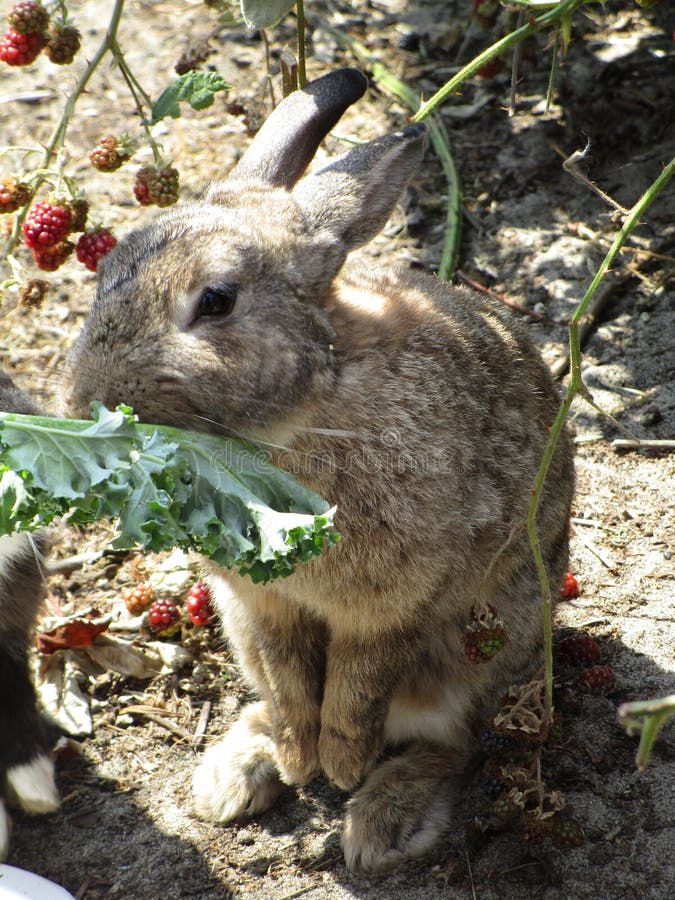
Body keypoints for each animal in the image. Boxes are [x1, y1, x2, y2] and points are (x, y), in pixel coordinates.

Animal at [63, 67, 574, 873]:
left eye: (216, 300)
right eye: (106, 269)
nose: (86, 401)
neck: (307, 409)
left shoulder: (389, 606)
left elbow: (356, 689)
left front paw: (338, 764)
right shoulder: (265, 603)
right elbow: (291, 682)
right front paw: (302, 759)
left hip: (482, 647)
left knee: (453, 742)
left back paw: (380, 820)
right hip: (238, 628)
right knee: (271, 698)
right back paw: (237, 773)